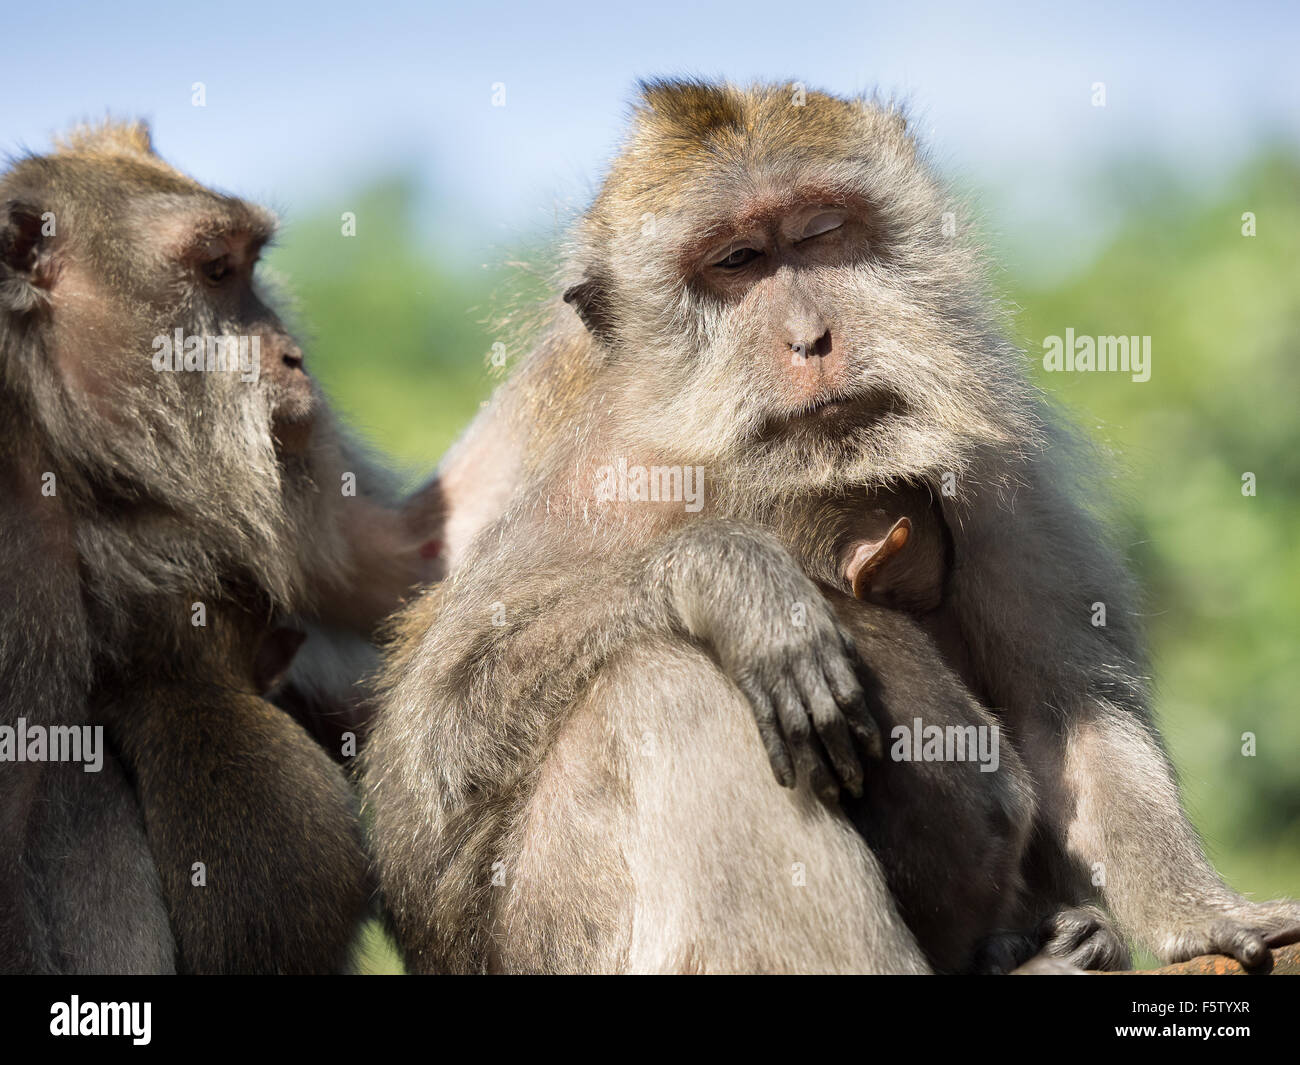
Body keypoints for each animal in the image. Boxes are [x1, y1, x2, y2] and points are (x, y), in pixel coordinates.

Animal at [365, 79, 1300, 974]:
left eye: (820, 234)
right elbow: (435, 751)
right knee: (661, 685)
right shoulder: (605, 474)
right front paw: (730, 579)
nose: (811, 337)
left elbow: (1065, 709)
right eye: (736, 262)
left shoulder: (997, 458)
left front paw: (1200, 911)